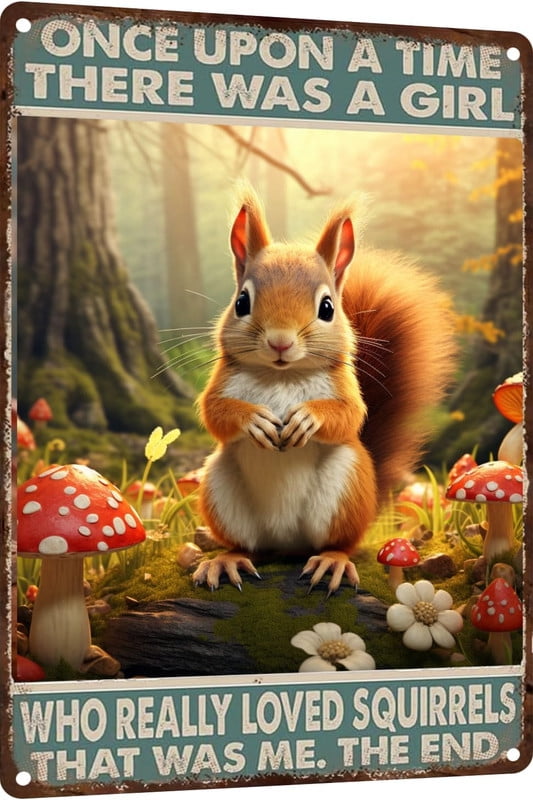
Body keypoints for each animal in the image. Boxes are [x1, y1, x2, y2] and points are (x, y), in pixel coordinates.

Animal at [192, 187, 456, 594]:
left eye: (328, 307)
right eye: (241, 302)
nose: (280, 341)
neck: (282, 376)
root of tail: (287, 545)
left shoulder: (345, 386)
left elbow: (349, 415)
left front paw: (307, 418)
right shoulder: (222, 380)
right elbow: (214, 412)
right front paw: (253, 420)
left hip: (343, 492)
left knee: (340, 543)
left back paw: (332, 562)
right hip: (220, 489)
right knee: (247, 546)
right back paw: (228, 560)